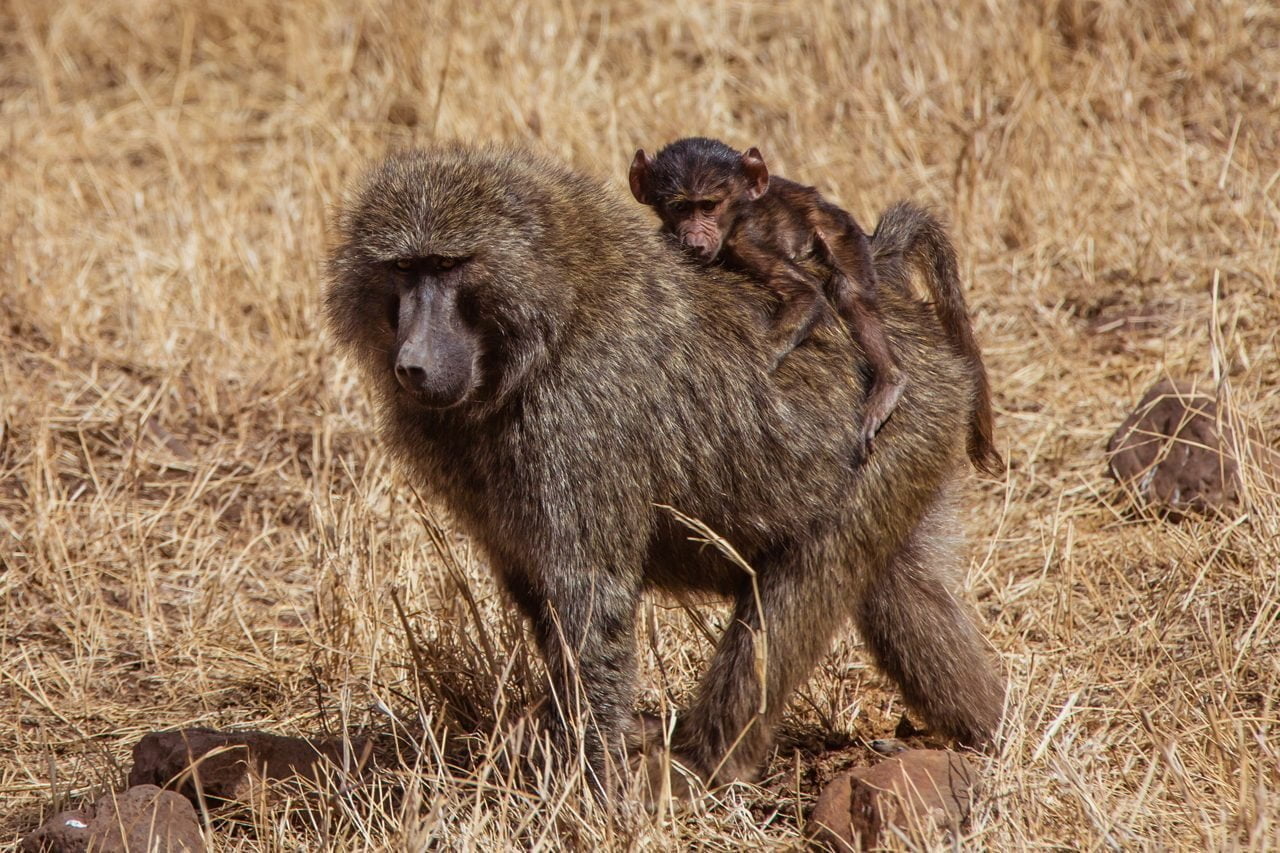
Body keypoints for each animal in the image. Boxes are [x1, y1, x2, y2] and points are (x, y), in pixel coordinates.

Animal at [629, 137, 904, 457]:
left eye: (708, 206)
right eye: (680, 207)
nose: (694, 240)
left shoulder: (747, 243)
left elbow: (805, 294)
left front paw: (752, 369)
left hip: (841, 232)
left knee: (851, 292)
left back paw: (890, 381)